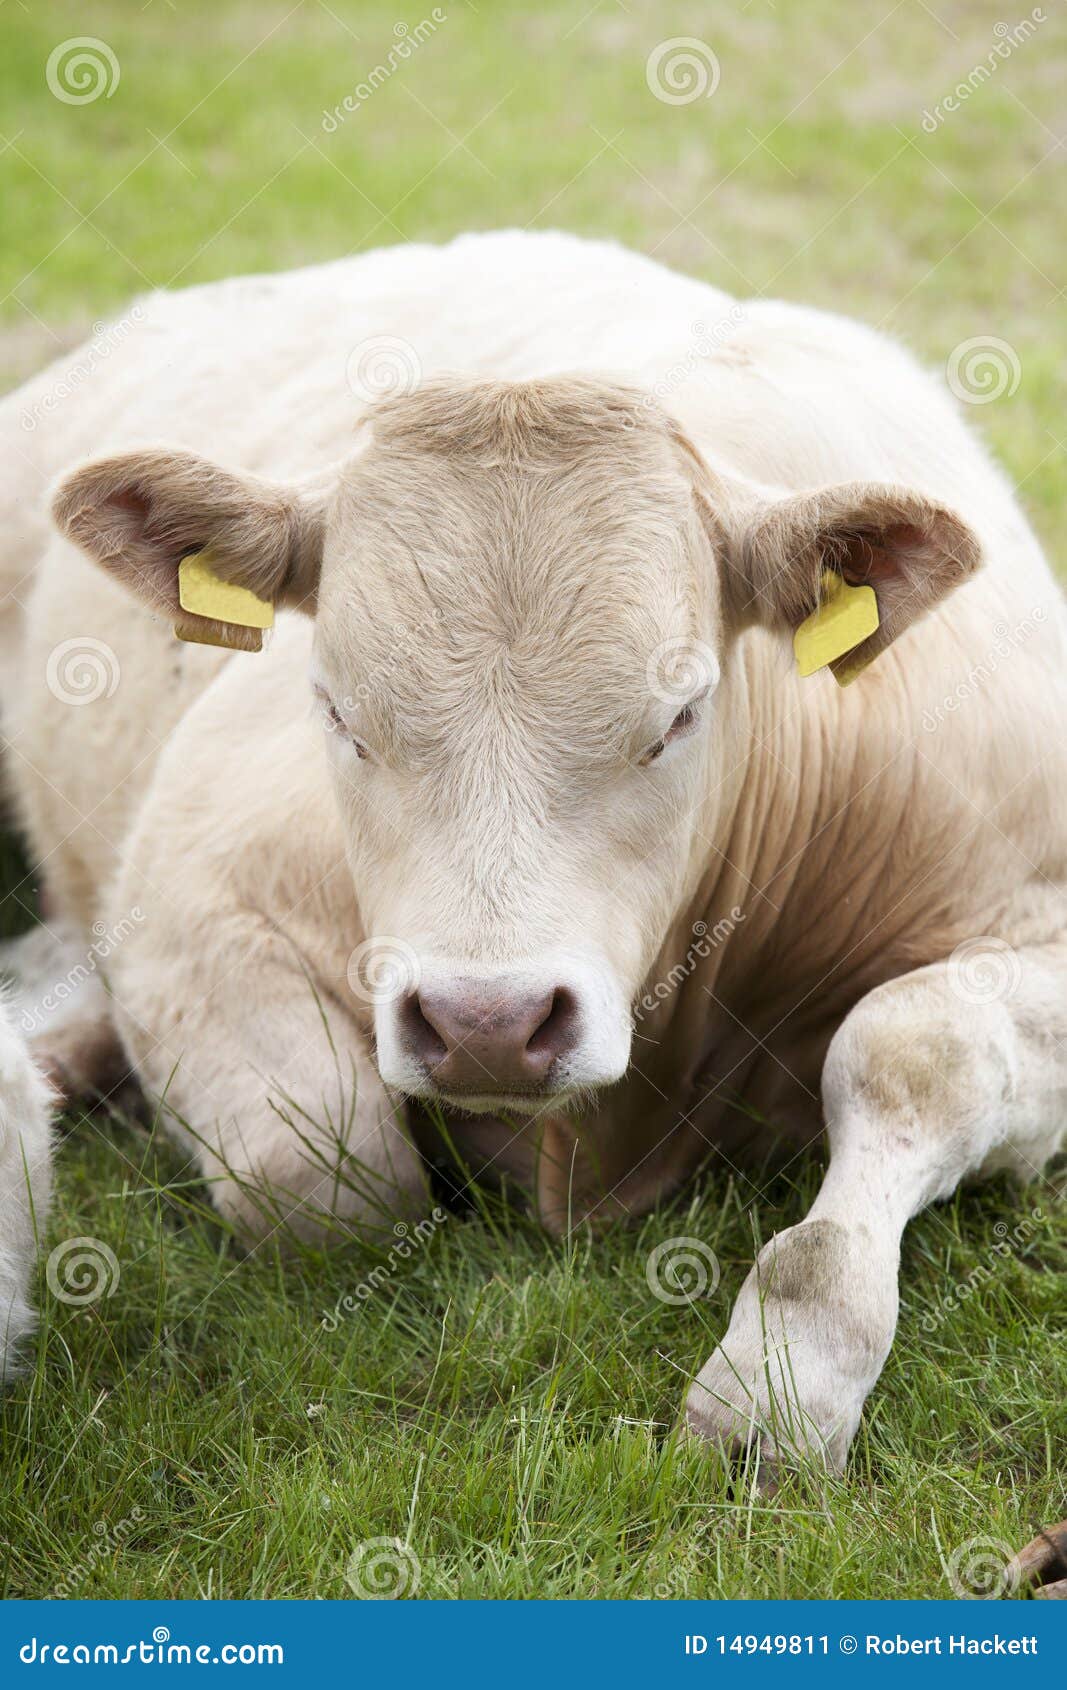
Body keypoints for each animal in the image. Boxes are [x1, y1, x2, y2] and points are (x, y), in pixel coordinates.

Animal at [1, 230, 1064, 1480]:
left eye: (679, 714)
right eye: (335, 707)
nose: (485, 1024)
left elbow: (910, 1050)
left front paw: (779, 1381)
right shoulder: (190, 902)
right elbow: (329, 1175)